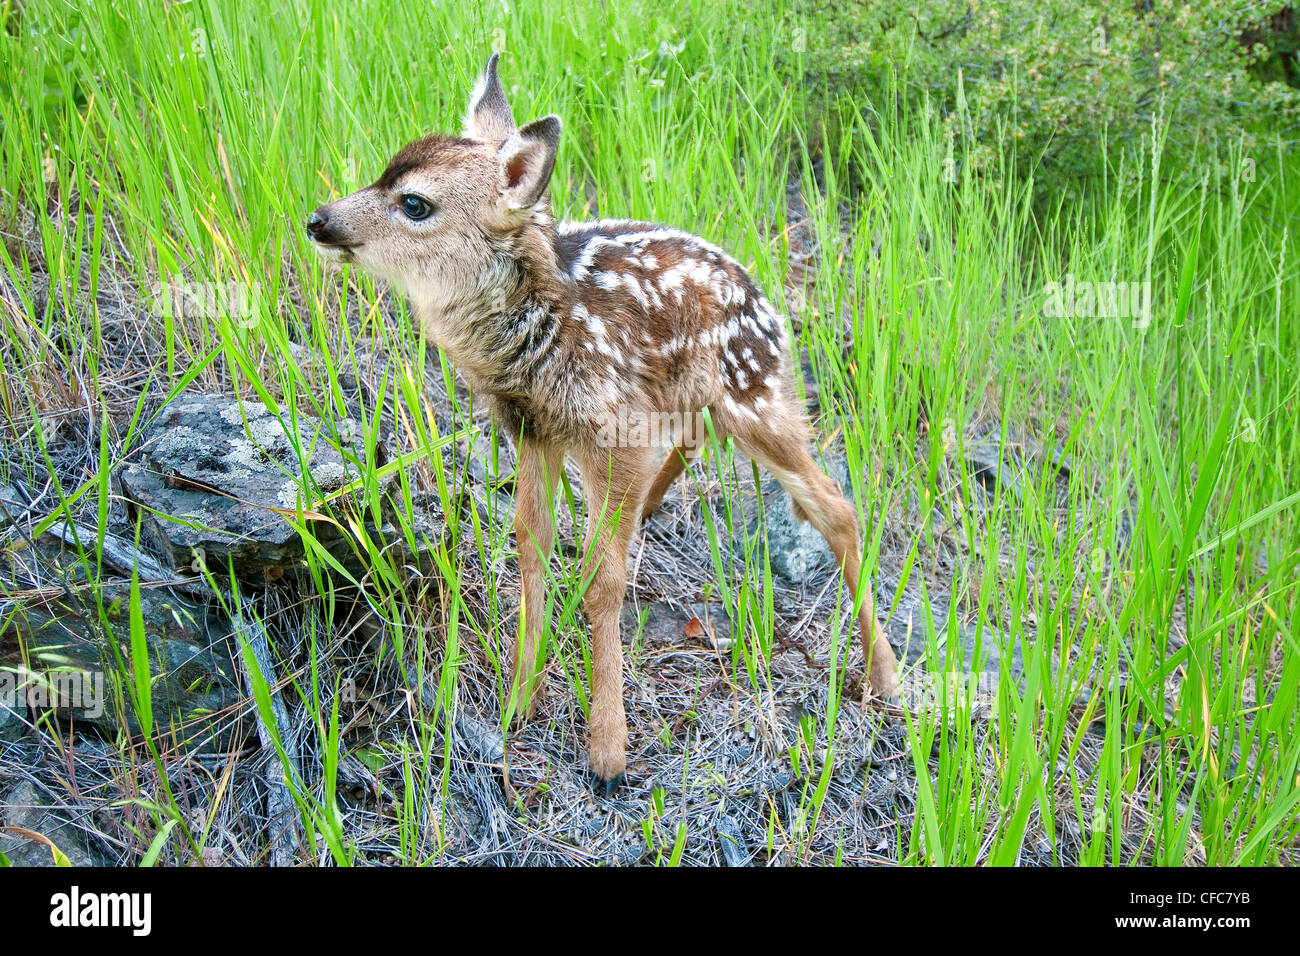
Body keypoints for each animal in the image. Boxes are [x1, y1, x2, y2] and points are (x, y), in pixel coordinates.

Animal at [307, 54, 899, 793]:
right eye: (384, 172)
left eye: (414, 202)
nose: (319, 220)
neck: (539, 329)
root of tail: (771, 307)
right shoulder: (532, 427)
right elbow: (530, 541)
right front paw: (519, 698)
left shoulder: (610, 429)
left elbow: (603, 580)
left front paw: (608, 749)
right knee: (694, 449)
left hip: (755, 397)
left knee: (835, 508)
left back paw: (884, 677)